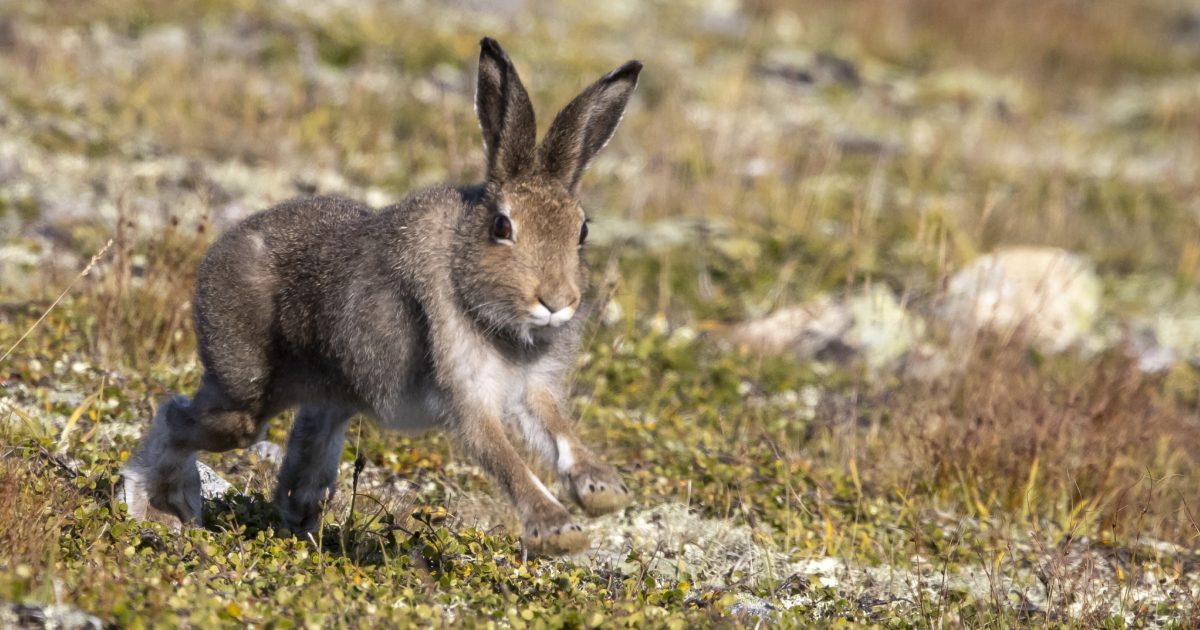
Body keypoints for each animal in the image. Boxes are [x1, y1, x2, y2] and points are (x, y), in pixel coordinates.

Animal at [119, 37, 642, 554]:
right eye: (501, 227)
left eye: (582, 231)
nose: (557, 302)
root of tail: (218, 252)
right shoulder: (465, 391)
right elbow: (503, 457)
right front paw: (560, 531)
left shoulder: (534, 388)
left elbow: (559, 431)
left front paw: (603, 491)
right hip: (244, 395)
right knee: (176, 416)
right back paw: (159, 509)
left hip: (330, 393)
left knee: (305, 454)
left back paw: (302, 527)